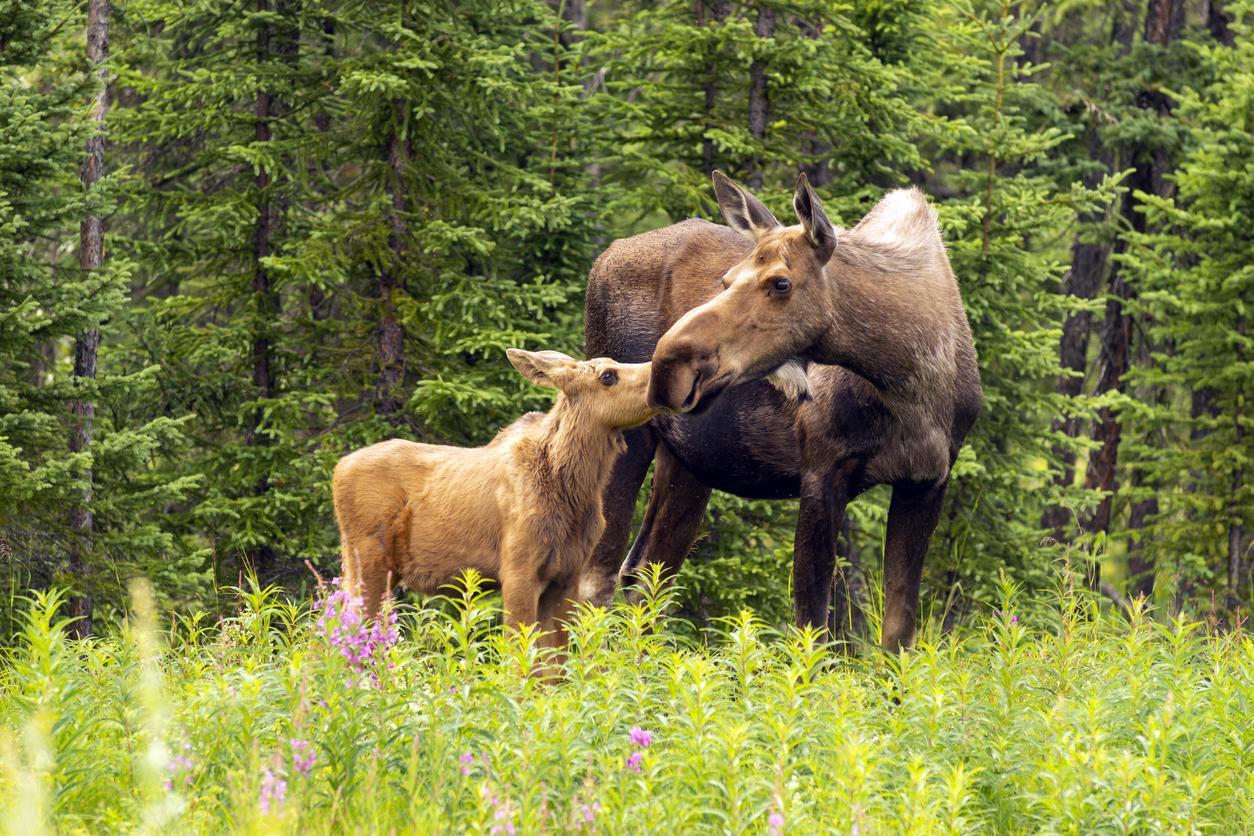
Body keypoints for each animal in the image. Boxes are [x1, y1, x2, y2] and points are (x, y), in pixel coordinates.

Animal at [331, 348, 656, 654]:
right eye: (607, 376)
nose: (656, 370)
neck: (572, 489)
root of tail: (338, 468)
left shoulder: (566, 574)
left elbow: (555, 662)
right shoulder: (517, 569)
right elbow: (519, 654)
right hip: (367, 560)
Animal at [582, 171, 981, 651]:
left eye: (780, 282)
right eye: (726, 280)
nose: (666, 365)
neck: (910, 383)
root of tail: (603, 257)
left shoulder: (927, 479)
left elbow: (897, 633)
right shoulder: (822, 469)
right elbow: (813, 627)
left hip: (689, 461)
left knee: (643, 575)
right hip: (628, 435)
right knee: (596, 576)